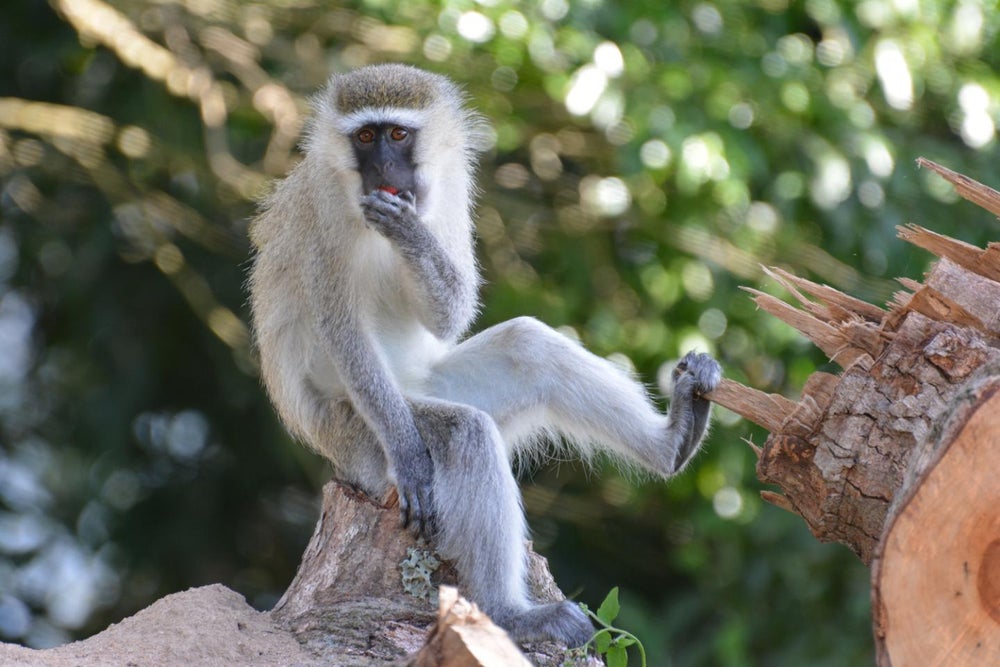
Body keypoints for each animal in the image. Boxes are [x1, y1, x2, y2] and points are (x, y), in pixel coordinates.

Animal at [248, 63, 722, 648]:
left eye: (397, 135)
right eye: (364, 137)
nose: (383, 168)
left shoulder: (451, 186)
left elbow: (449, 316)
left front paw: (410, 232)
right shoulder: (323, 214)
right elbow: (343, 334)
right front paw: (410, 457)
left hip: (432, 386)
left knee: (528, 347)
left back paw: (674, 440)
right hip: (357, 438)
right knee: (465, 432)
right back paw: (508, 611)